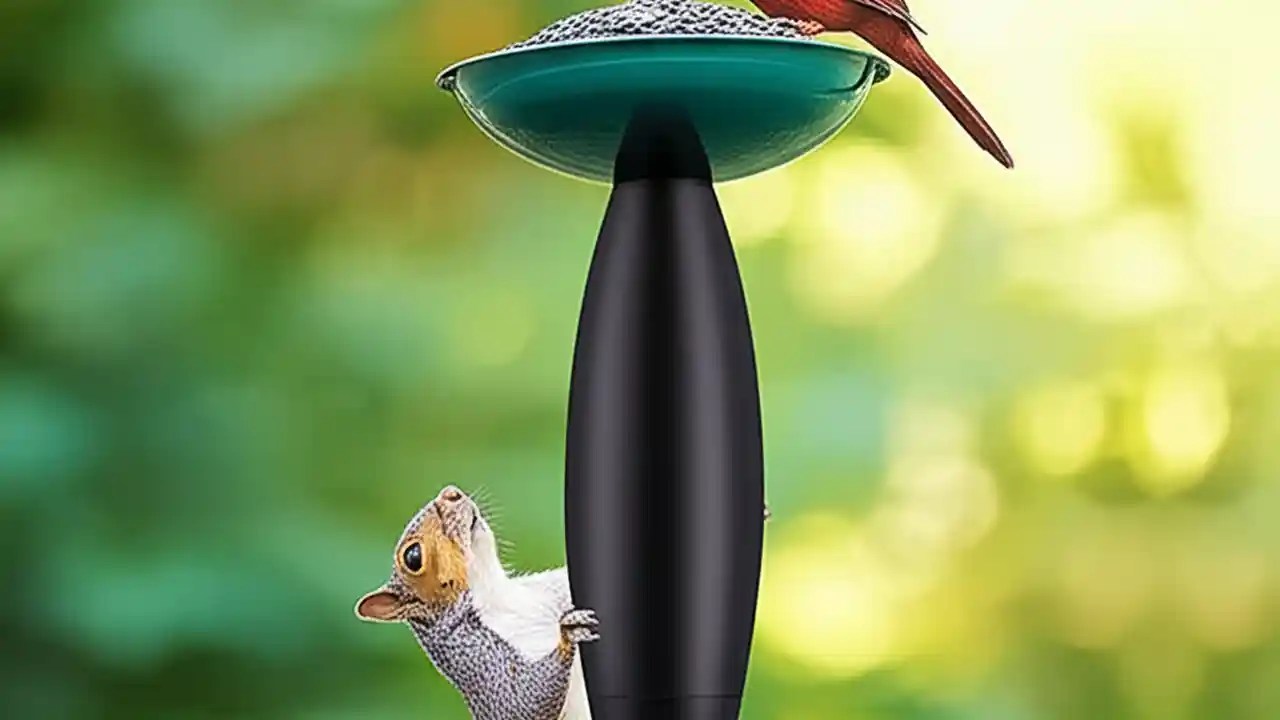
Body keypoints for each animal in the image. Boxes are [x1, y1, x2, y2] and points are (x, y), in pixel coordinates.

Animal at [355, 486, 599, 720]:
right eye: (413, 557)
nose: (451, 493)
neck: (497, 593)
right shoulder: (476, 662)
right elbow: (521, 702)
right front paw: (568, 633)